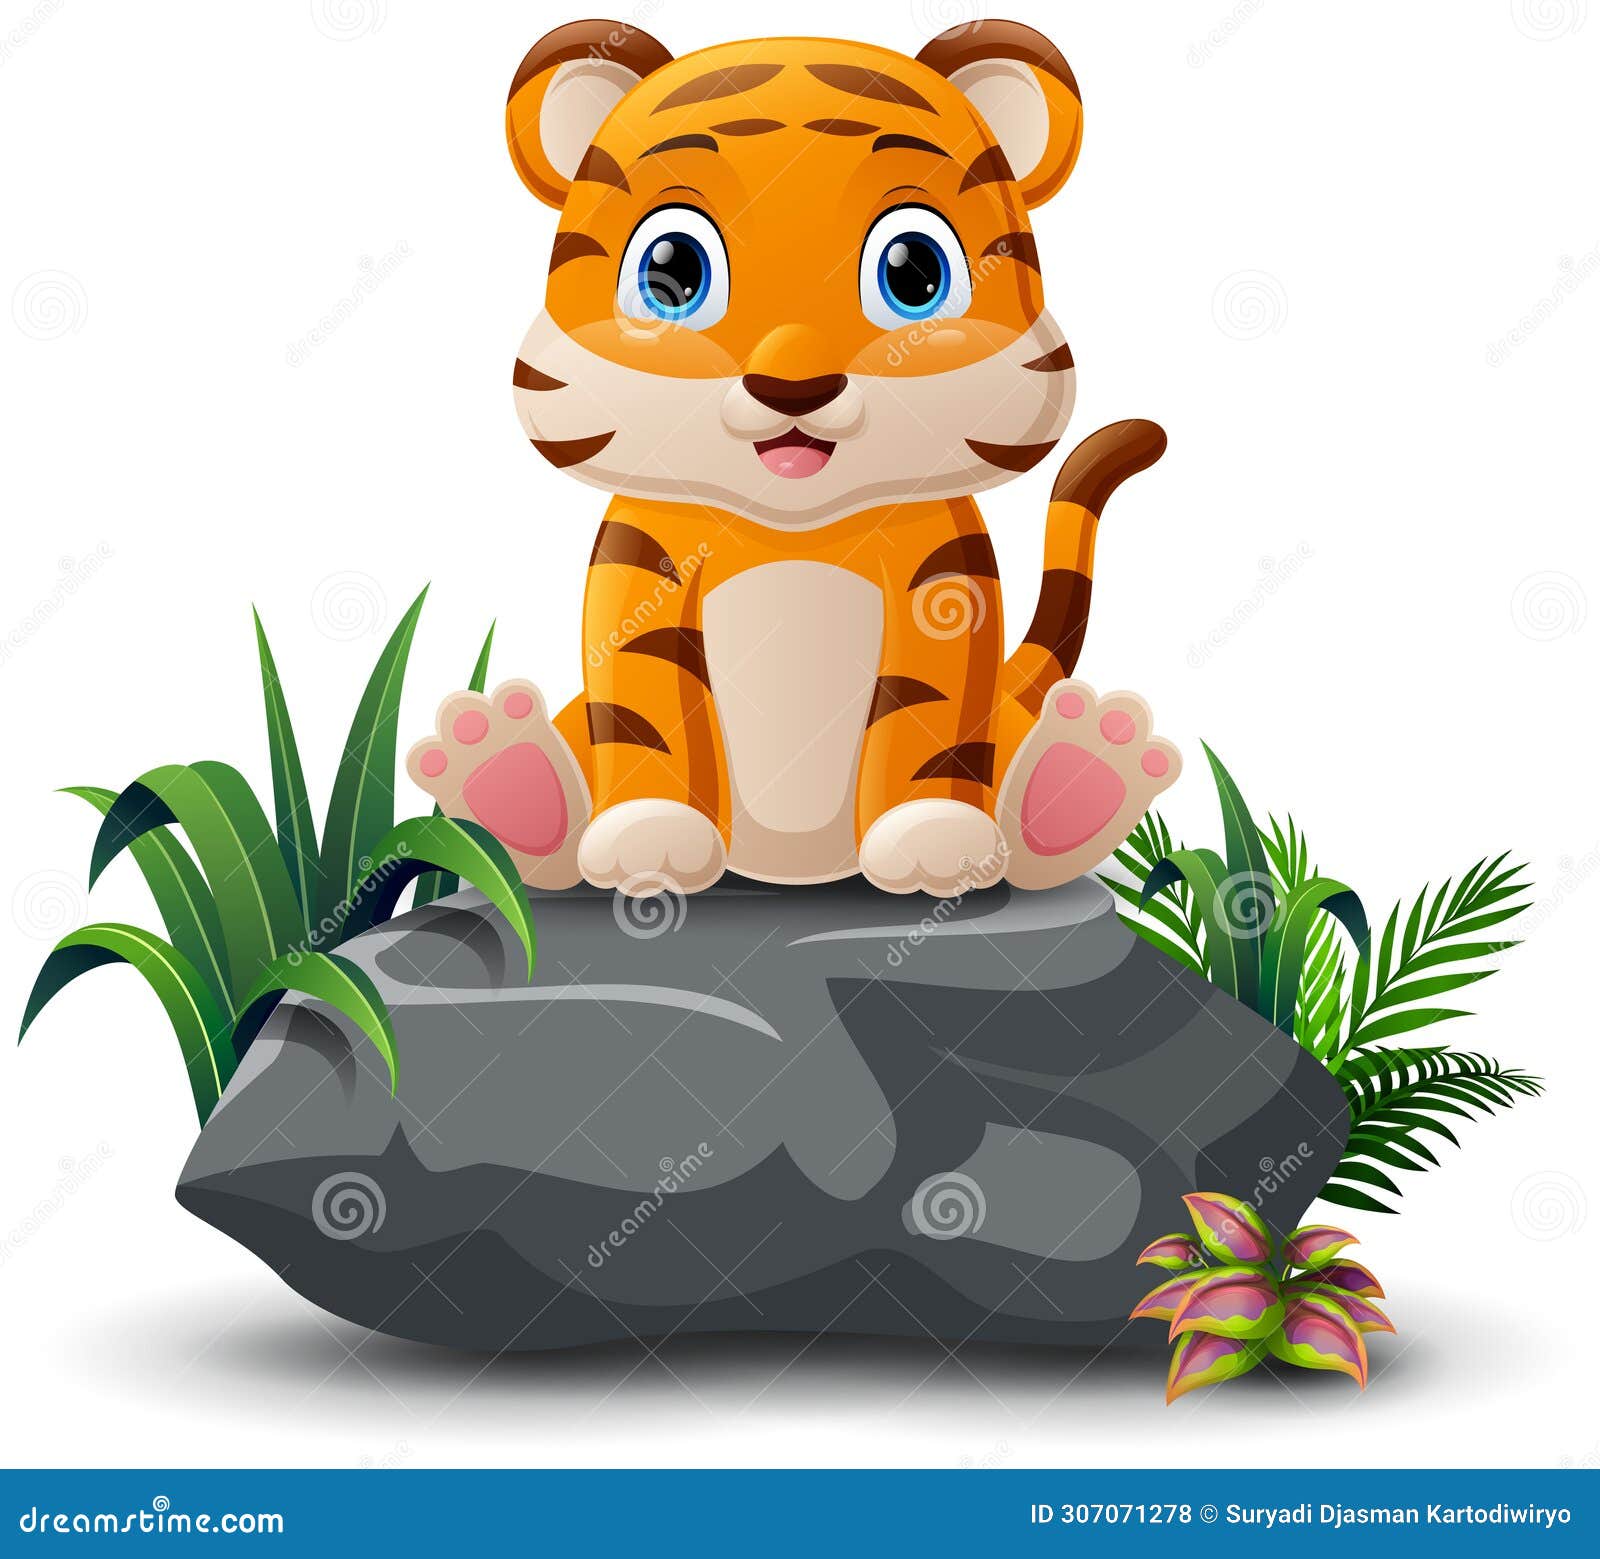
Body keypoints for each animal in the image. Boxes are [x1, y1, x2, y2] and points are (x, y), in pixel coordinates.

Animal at [407, 17, 1180, 898]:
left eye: (915, 270)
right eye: (672, 267)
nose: (793, 385)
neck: (791, 529)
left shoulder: (943, 589)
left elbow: (928, 714)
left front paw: (932, 837)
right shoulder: (639, 579)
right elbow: (646, 714)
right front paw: (650, 839)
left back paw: (1087, 772)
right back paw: (503, 775)